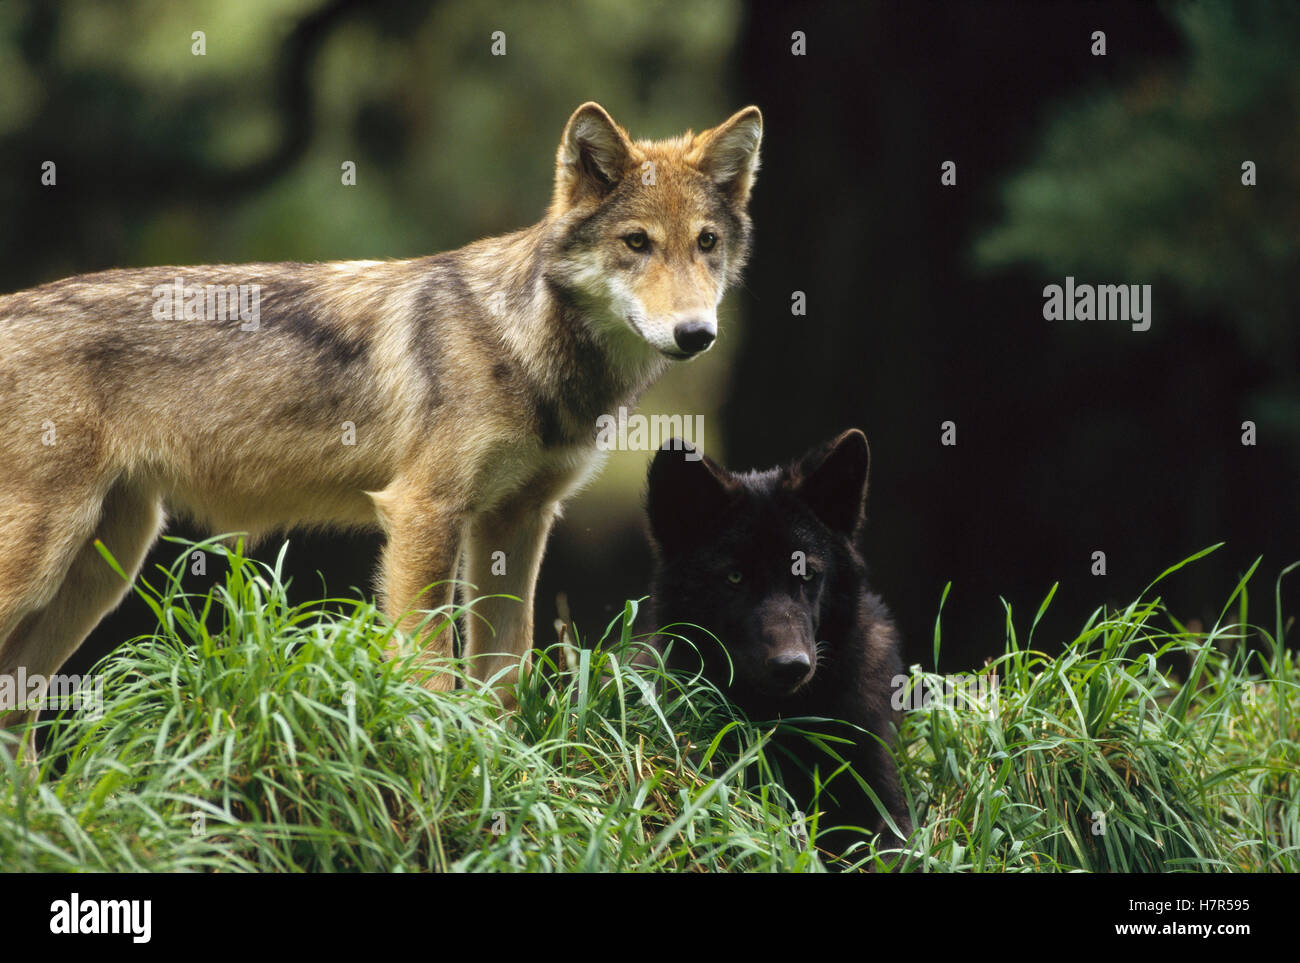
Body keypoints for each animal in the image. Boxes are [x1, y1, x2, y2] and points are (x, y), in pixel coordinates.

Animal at [0, 101, 762, 735]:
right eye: (636, 243)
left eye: (705, 244)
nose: (697, 334)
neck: (520, 339)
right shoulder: (423, 511)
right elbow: (433, 669)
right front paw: (446, 756)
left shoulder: (517, 521)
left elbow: (506, 674)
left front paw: (505, 769)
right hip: (51, 560)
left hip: (104, 567)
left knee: (18, 710)